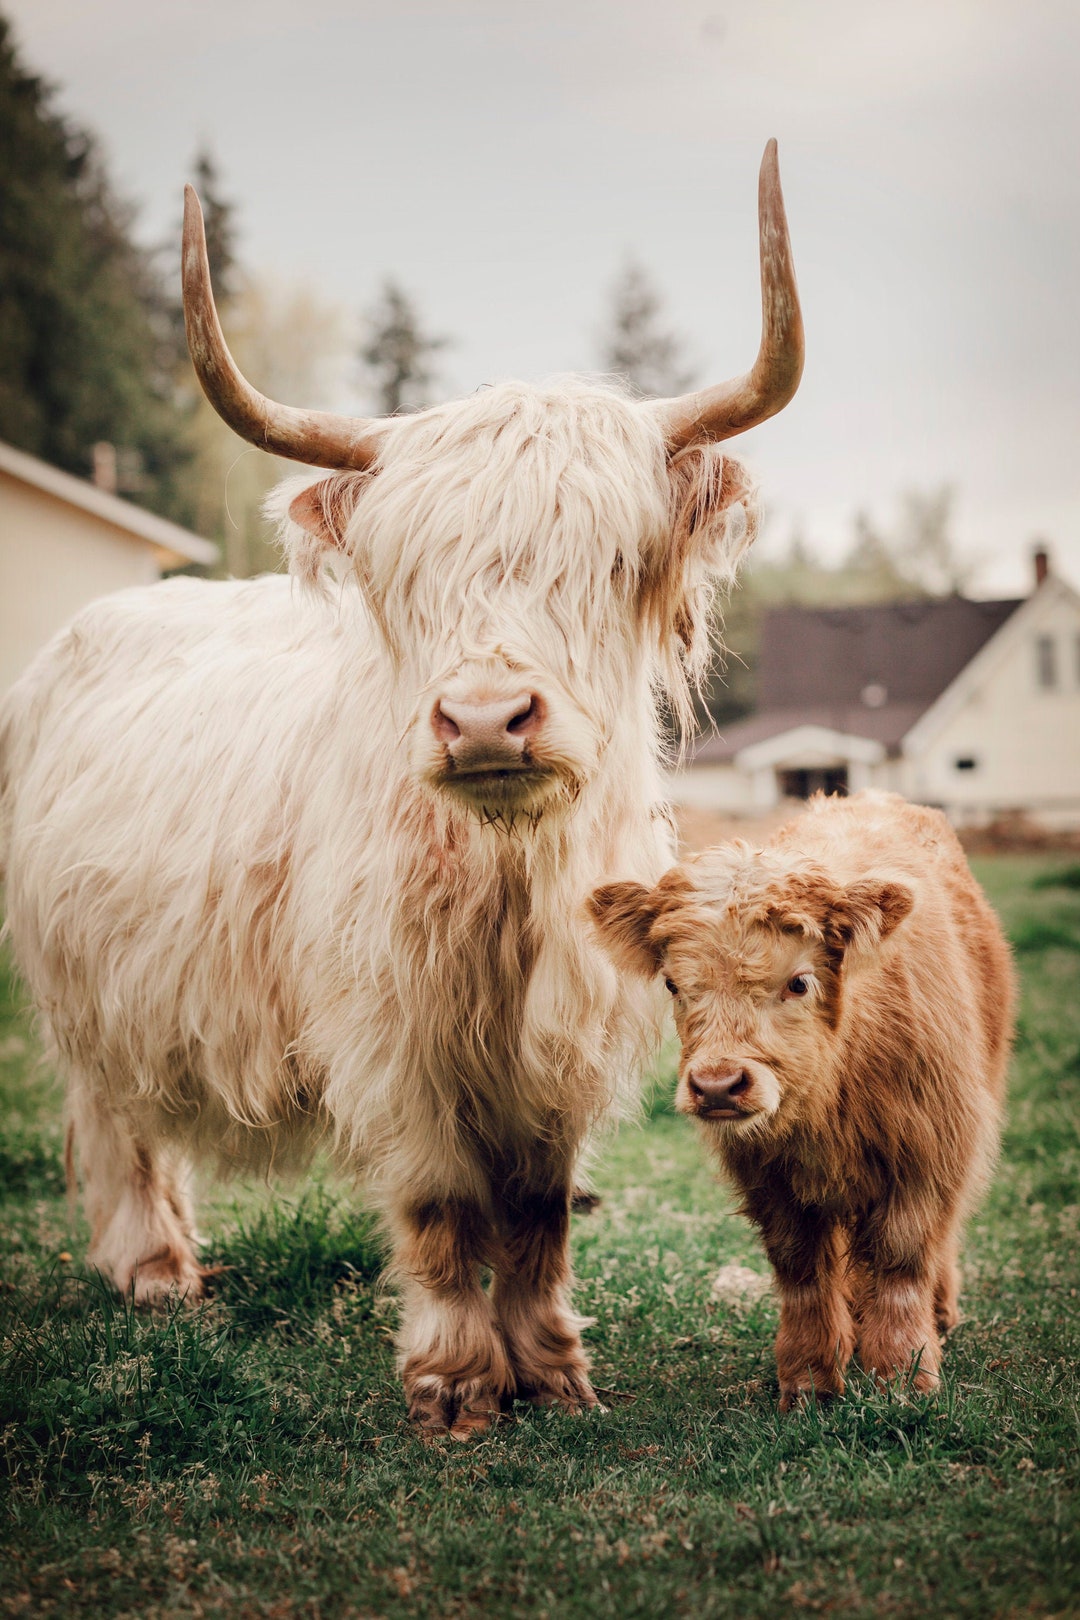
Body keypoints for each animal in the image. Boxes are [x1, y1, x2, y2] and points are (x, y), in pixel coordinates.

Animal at [0, 143, 802, 1439]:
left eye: (609, 558)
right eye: (405, 570)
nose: (484, 719)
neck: (506, 884)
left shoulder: (560, 1049)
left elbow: (536, 1212)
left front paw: (552, 1371)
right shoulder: (392, 1035)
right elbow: (438, 1207)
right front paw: (456, 1385)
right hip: (83, 987)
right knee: (116, 1119)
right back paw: (154, 1270)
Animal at [588, 791, 1013, 1409]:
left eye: (799, 981)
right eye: (672, 983)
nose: (718, 1085)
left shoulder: (926, 1154)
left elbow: (901, 1263)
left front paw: (902, 1379)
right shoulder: (771, 1183)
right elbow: (803, 1272)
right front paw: (810, 1381)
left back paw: (938, 1313)